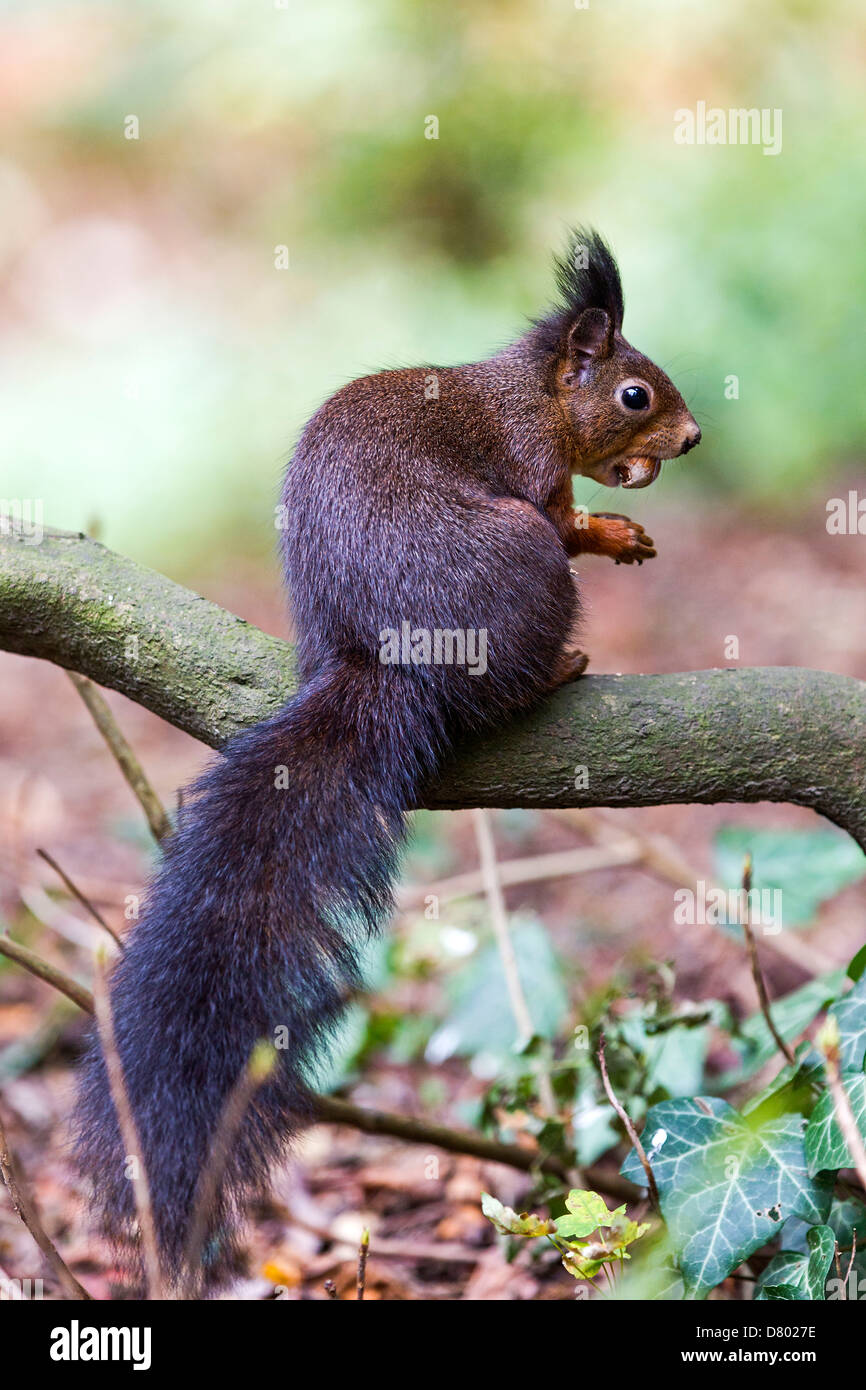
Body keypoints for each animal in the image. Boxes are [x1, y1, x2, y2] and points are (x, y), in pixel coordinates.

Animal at [73, 229, 700, 1291]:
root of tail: (378, 656)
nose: (693, 439)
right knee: (516, 651)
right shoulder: (533, 467)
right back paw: (560, 669)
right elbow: (563, 516)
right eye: (634, 395)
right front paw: (610, 532)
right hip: (516, 556)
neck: (530, 393)